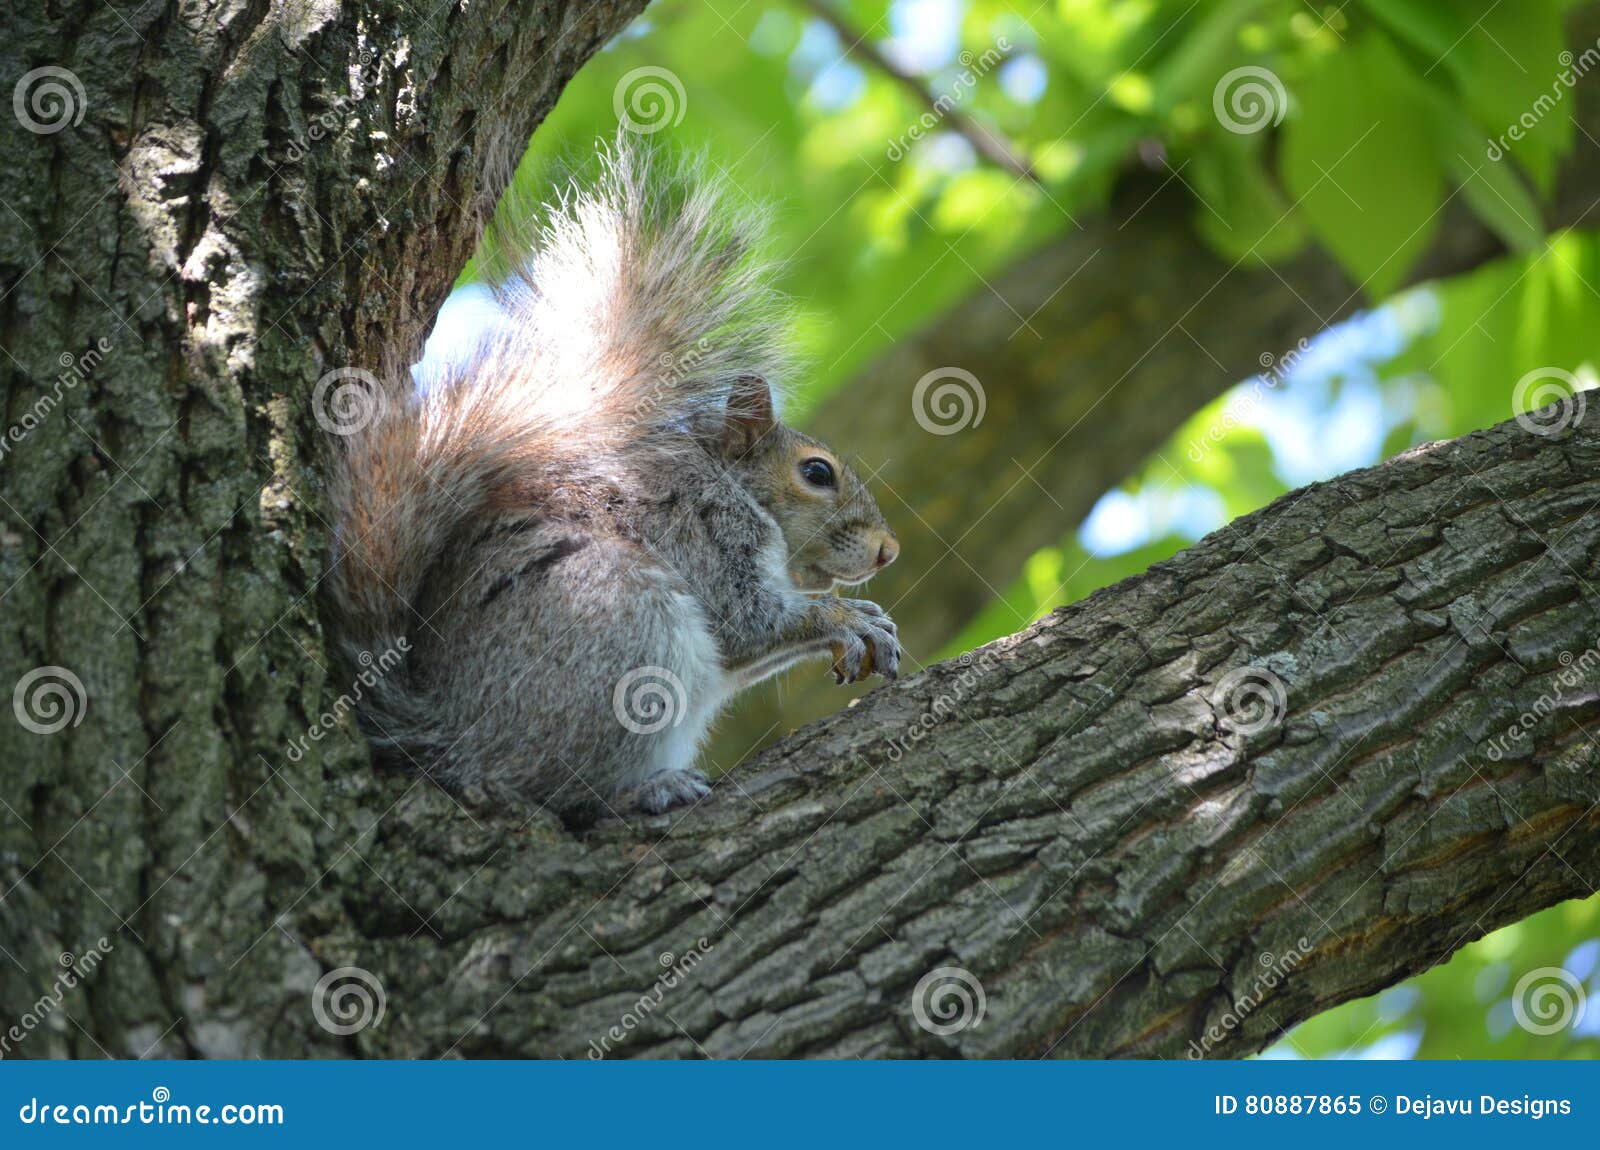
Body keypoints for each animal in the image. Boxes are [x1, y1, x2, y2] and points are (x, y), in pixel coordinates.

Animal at [325, 140, 901, 822]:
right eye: (816, 473)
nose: (889, 550)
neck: (734, 487)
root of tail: (450, 734)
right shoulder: (702, 531)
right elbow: (747, 623)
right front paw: (848, 619)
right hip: (625, 630)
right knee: (554, 789)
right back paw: (645, 788)